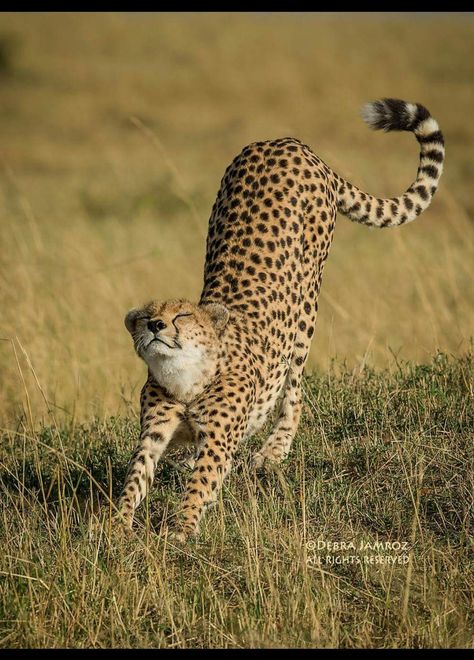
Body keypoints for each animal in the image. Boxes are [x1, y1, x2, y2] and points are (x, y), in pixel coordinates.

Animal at [115, 99, 444, 540]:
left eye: (181, 315)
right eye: (147, 316)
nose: (155, 326)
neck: (186, 378)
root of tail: (286, 142)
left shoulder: (216, 440)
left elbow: (201, 482)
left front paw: (181, 528)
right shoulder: (152, 434)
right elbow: (136, 478)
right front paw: (113, 526)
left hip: (307, 303)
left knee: (294, 389)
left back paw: (274, 450)